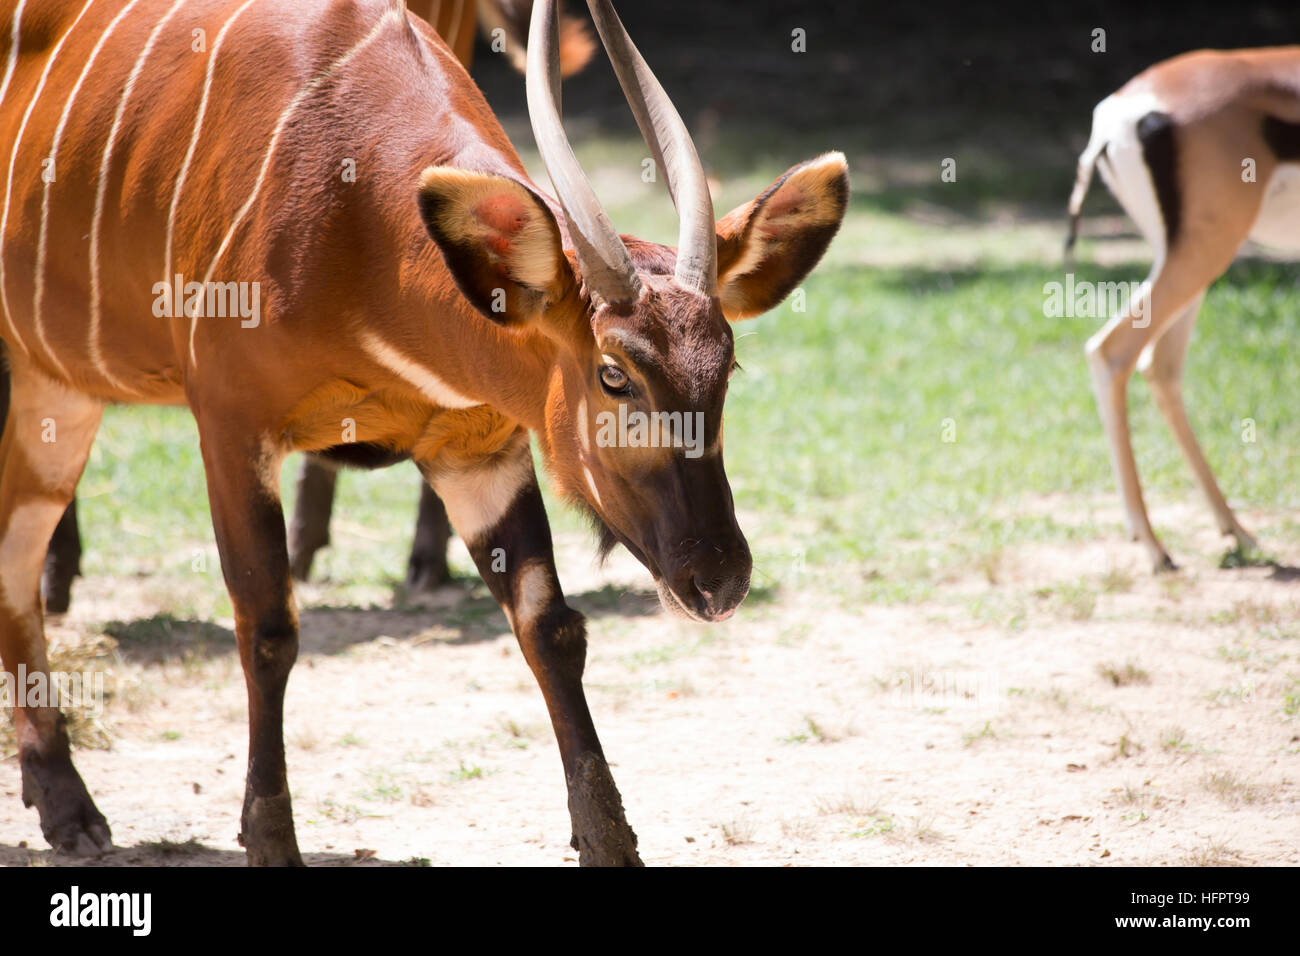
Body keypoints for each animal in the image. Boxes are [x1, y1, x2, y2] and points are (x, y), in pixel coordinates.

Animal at [0, 0, 848, 865]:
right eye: (615, 374)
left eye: (726, 366)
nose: (719, 579)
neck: (354, 225)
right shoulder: (231, 425)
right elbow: (268, 629)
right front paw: (269, 839)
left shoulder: (477, 451)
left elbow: (550, 625)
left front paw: (610, 842)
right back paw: (69, 806)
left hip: (61, 389)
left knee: (16, 552)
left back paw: (62, 801)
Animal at [1067, 47, 1300, 572]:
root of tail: (1120, 111)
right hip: (1207, 250)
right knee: (1113, 351)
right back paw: (1156, 546)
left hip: (1182, 255)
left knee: (1160, 364)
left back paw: (1235, 530)